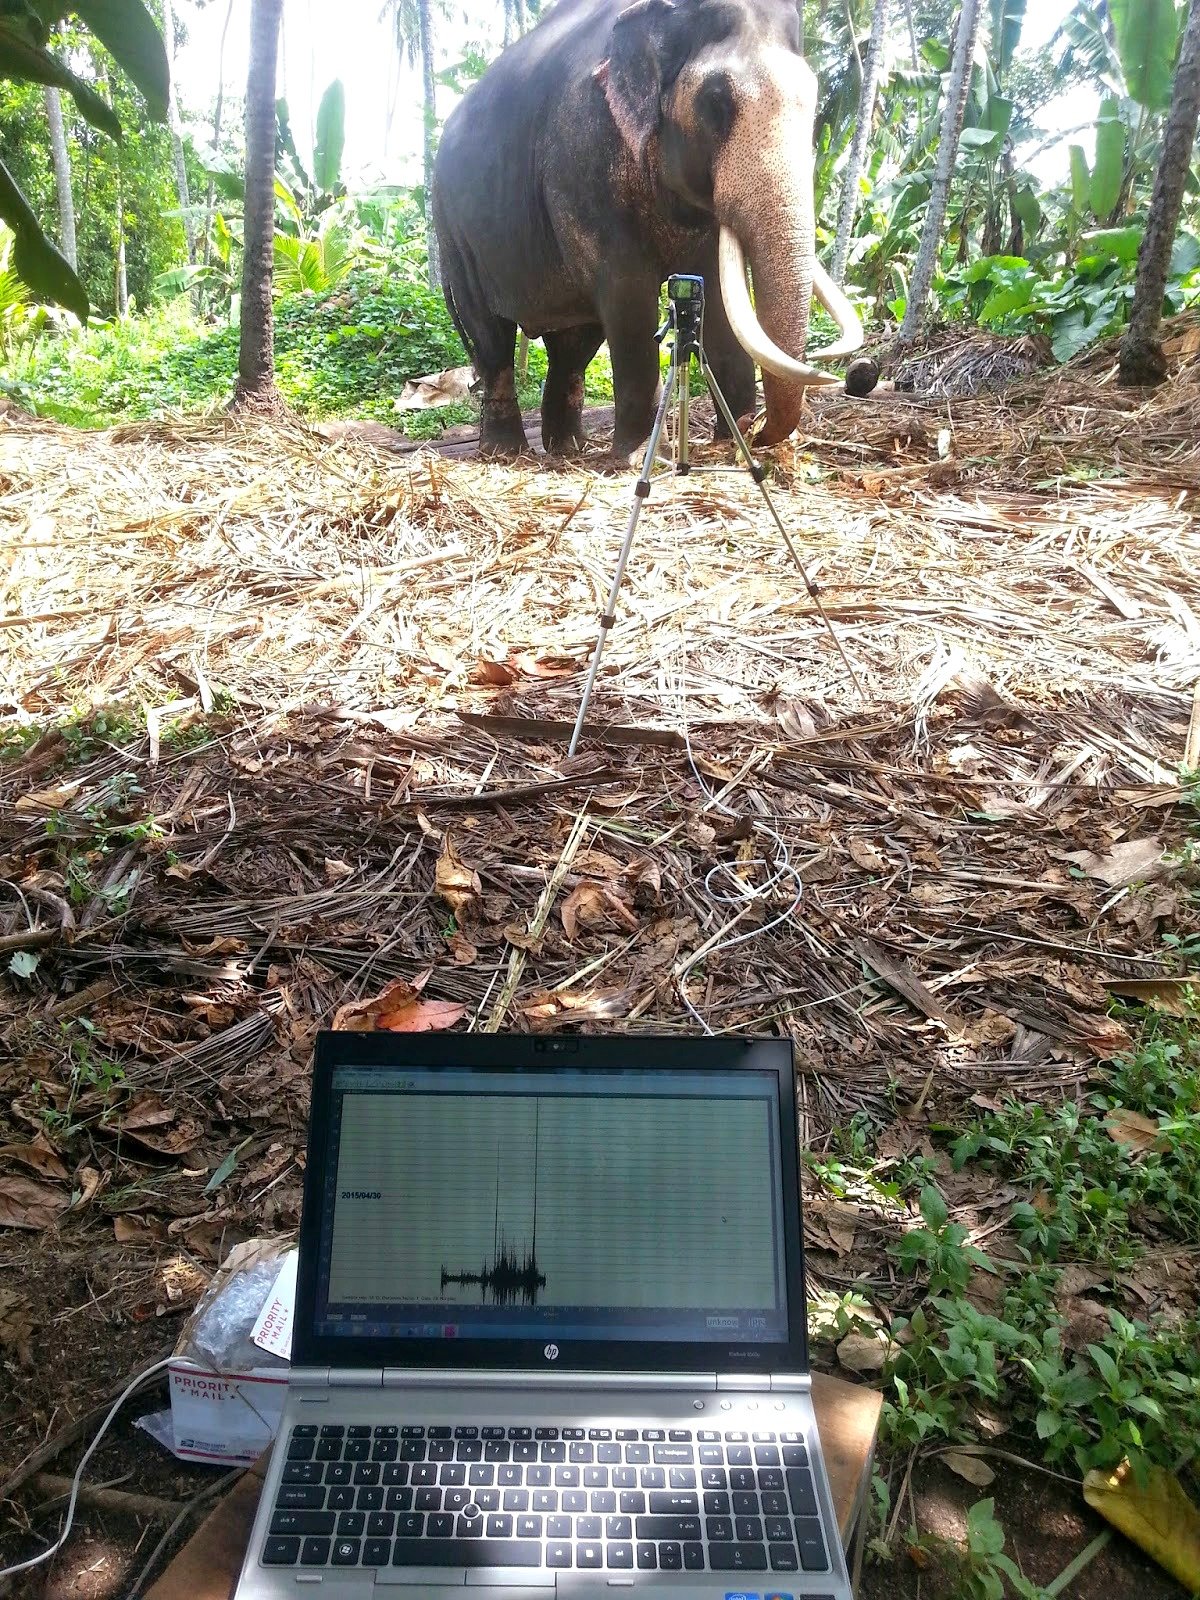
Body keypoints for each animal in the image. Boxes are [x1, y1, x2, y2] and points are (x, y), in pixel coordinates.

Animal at [432, 0, 863, 462]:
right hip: (454, 234)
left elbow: (715, 297)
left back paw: (568, 449)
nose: (760, 429)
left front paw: (732, 439)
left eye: (815, 99)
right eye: (716, 102)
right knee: (489, 333)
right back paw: (506, 452)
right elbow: (628, 295)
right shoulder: (583, 162)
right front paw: (639, 456)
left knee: (575, 341)